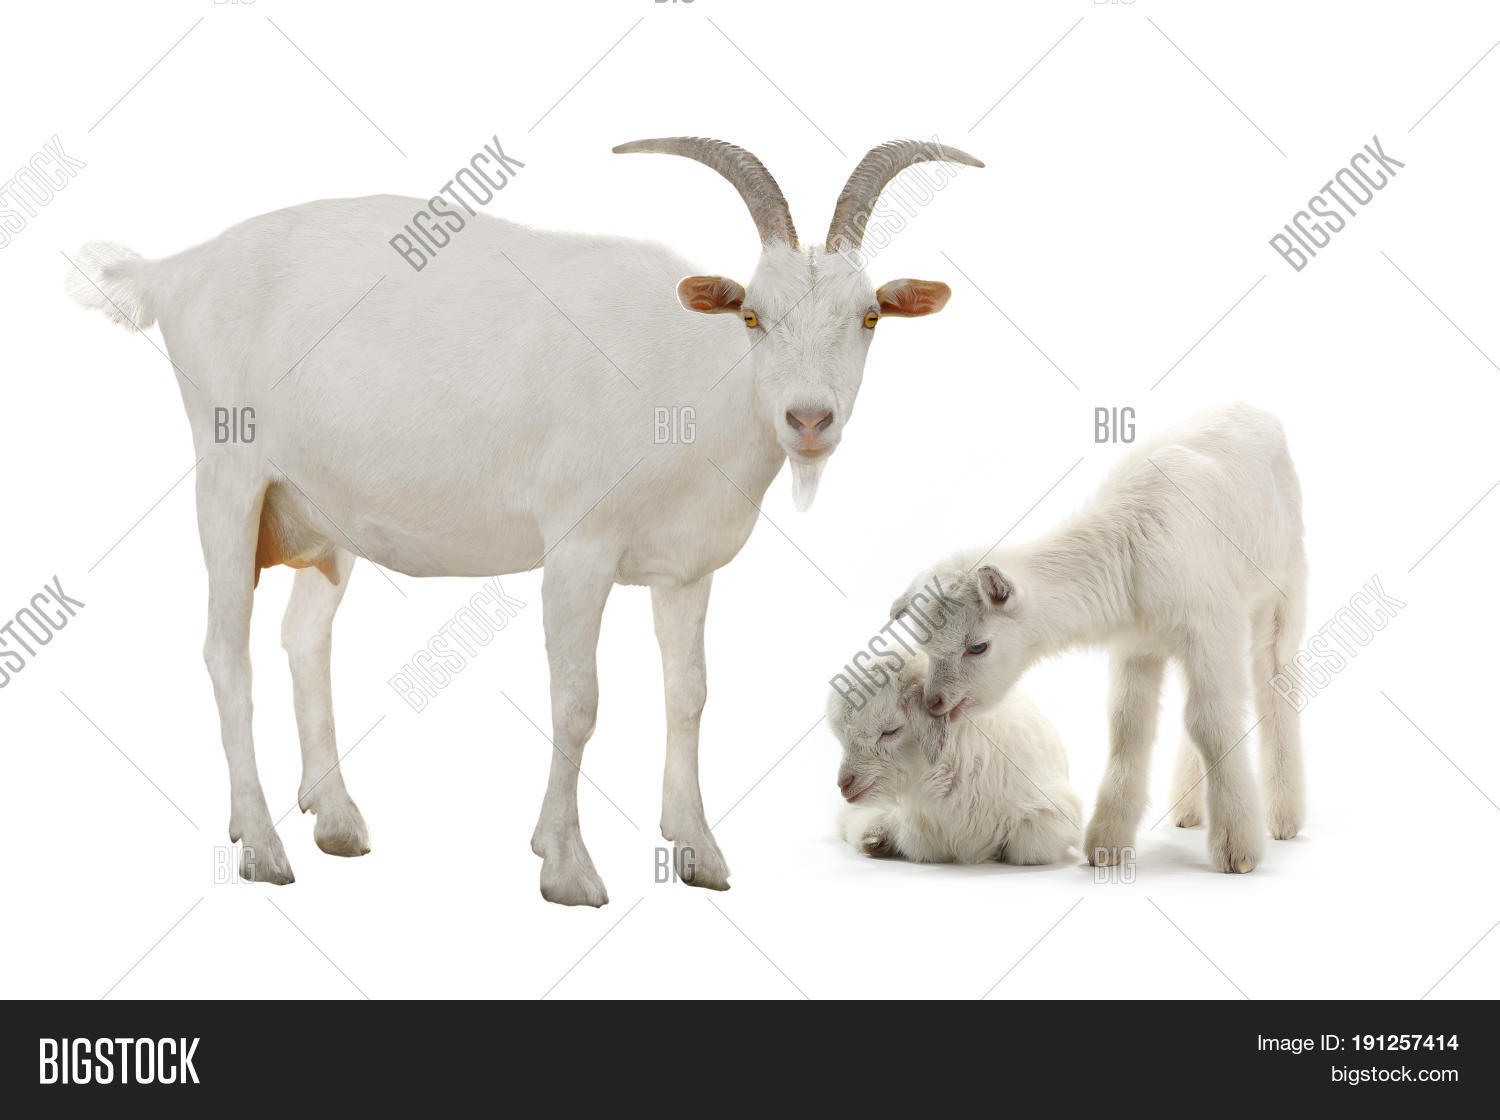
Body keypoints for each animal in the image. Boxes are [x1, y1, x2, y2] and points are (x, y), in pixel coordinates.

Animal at [66, 137, 982, 905]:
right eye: (753, 315)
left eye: (869, 317)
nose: (808, 419)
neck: (691, 383)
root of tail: (178, 270)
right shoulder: (577, 549)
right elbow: (577, 700)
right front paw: (566, 866)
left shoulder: (685, 567)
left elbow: (689, 694)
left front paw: (698, 851)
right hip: (230, 481)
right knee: (227, 655)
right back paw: (260, 845)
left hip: (319, 513)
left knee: (304, 639)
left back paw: (335, 820)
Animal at [892, 403, 1307, 874]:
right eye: (926, 649)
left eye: (977, 646)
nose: (935, 702)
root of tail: (1253, 410)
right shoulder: (1139, 642)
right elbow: (1128, 726)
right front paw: (1107, 845)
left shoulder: (1210, 625)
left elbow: (1212, 723)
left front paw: (1238, 847)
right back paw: (1187, 810)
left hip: (1286, 579)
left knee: (1274, 676)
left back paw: (1284, 818)